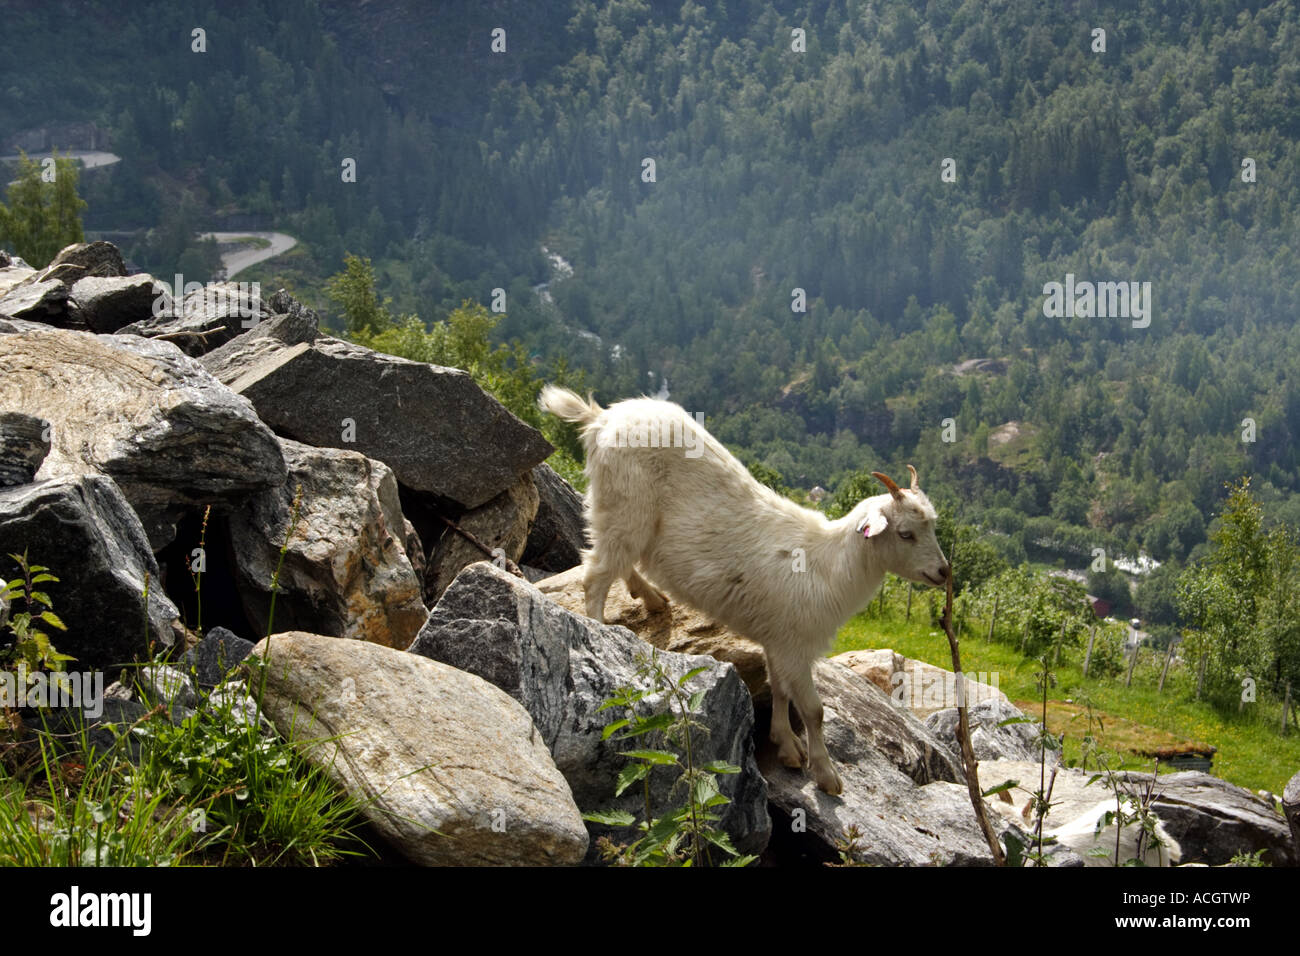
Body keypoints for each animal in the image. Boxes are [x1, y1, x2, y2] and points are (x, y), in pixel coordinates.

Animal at [539, 385, 950, 795]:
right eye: (905, 534)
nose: (943, 572)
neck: (830, 565)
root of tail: (600, 417)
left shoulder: (778, 640)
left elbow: (779, 690)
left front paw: (787, 746)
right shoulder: (796, 647)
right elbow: (814, 711)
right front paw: (826, 774)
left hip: (625, 518)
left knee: (619, 561)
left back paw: (653, 599)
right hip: (623, 507)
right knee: (597, 575)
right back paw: (601, 630)